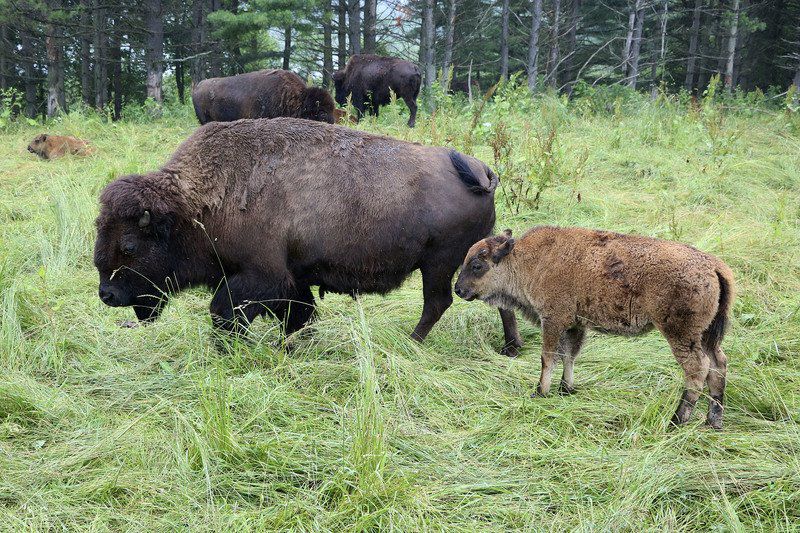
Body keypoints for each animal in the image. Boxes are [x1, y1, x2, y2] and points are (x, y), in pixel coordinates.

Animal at [94, 118, 521, 352]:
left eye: (129, 244)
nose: (107, 295)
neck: (198, 202)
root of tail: (481, 170)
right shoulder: (292, 279)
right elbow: (299, 313)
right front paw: (291, 346)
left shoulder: (260, 276)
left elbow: (224, 312)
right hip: (472, 259)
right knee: (499, 299)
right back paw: (511, 348)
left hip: (440, 263)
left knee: (437, 302)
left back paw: (412, 342)